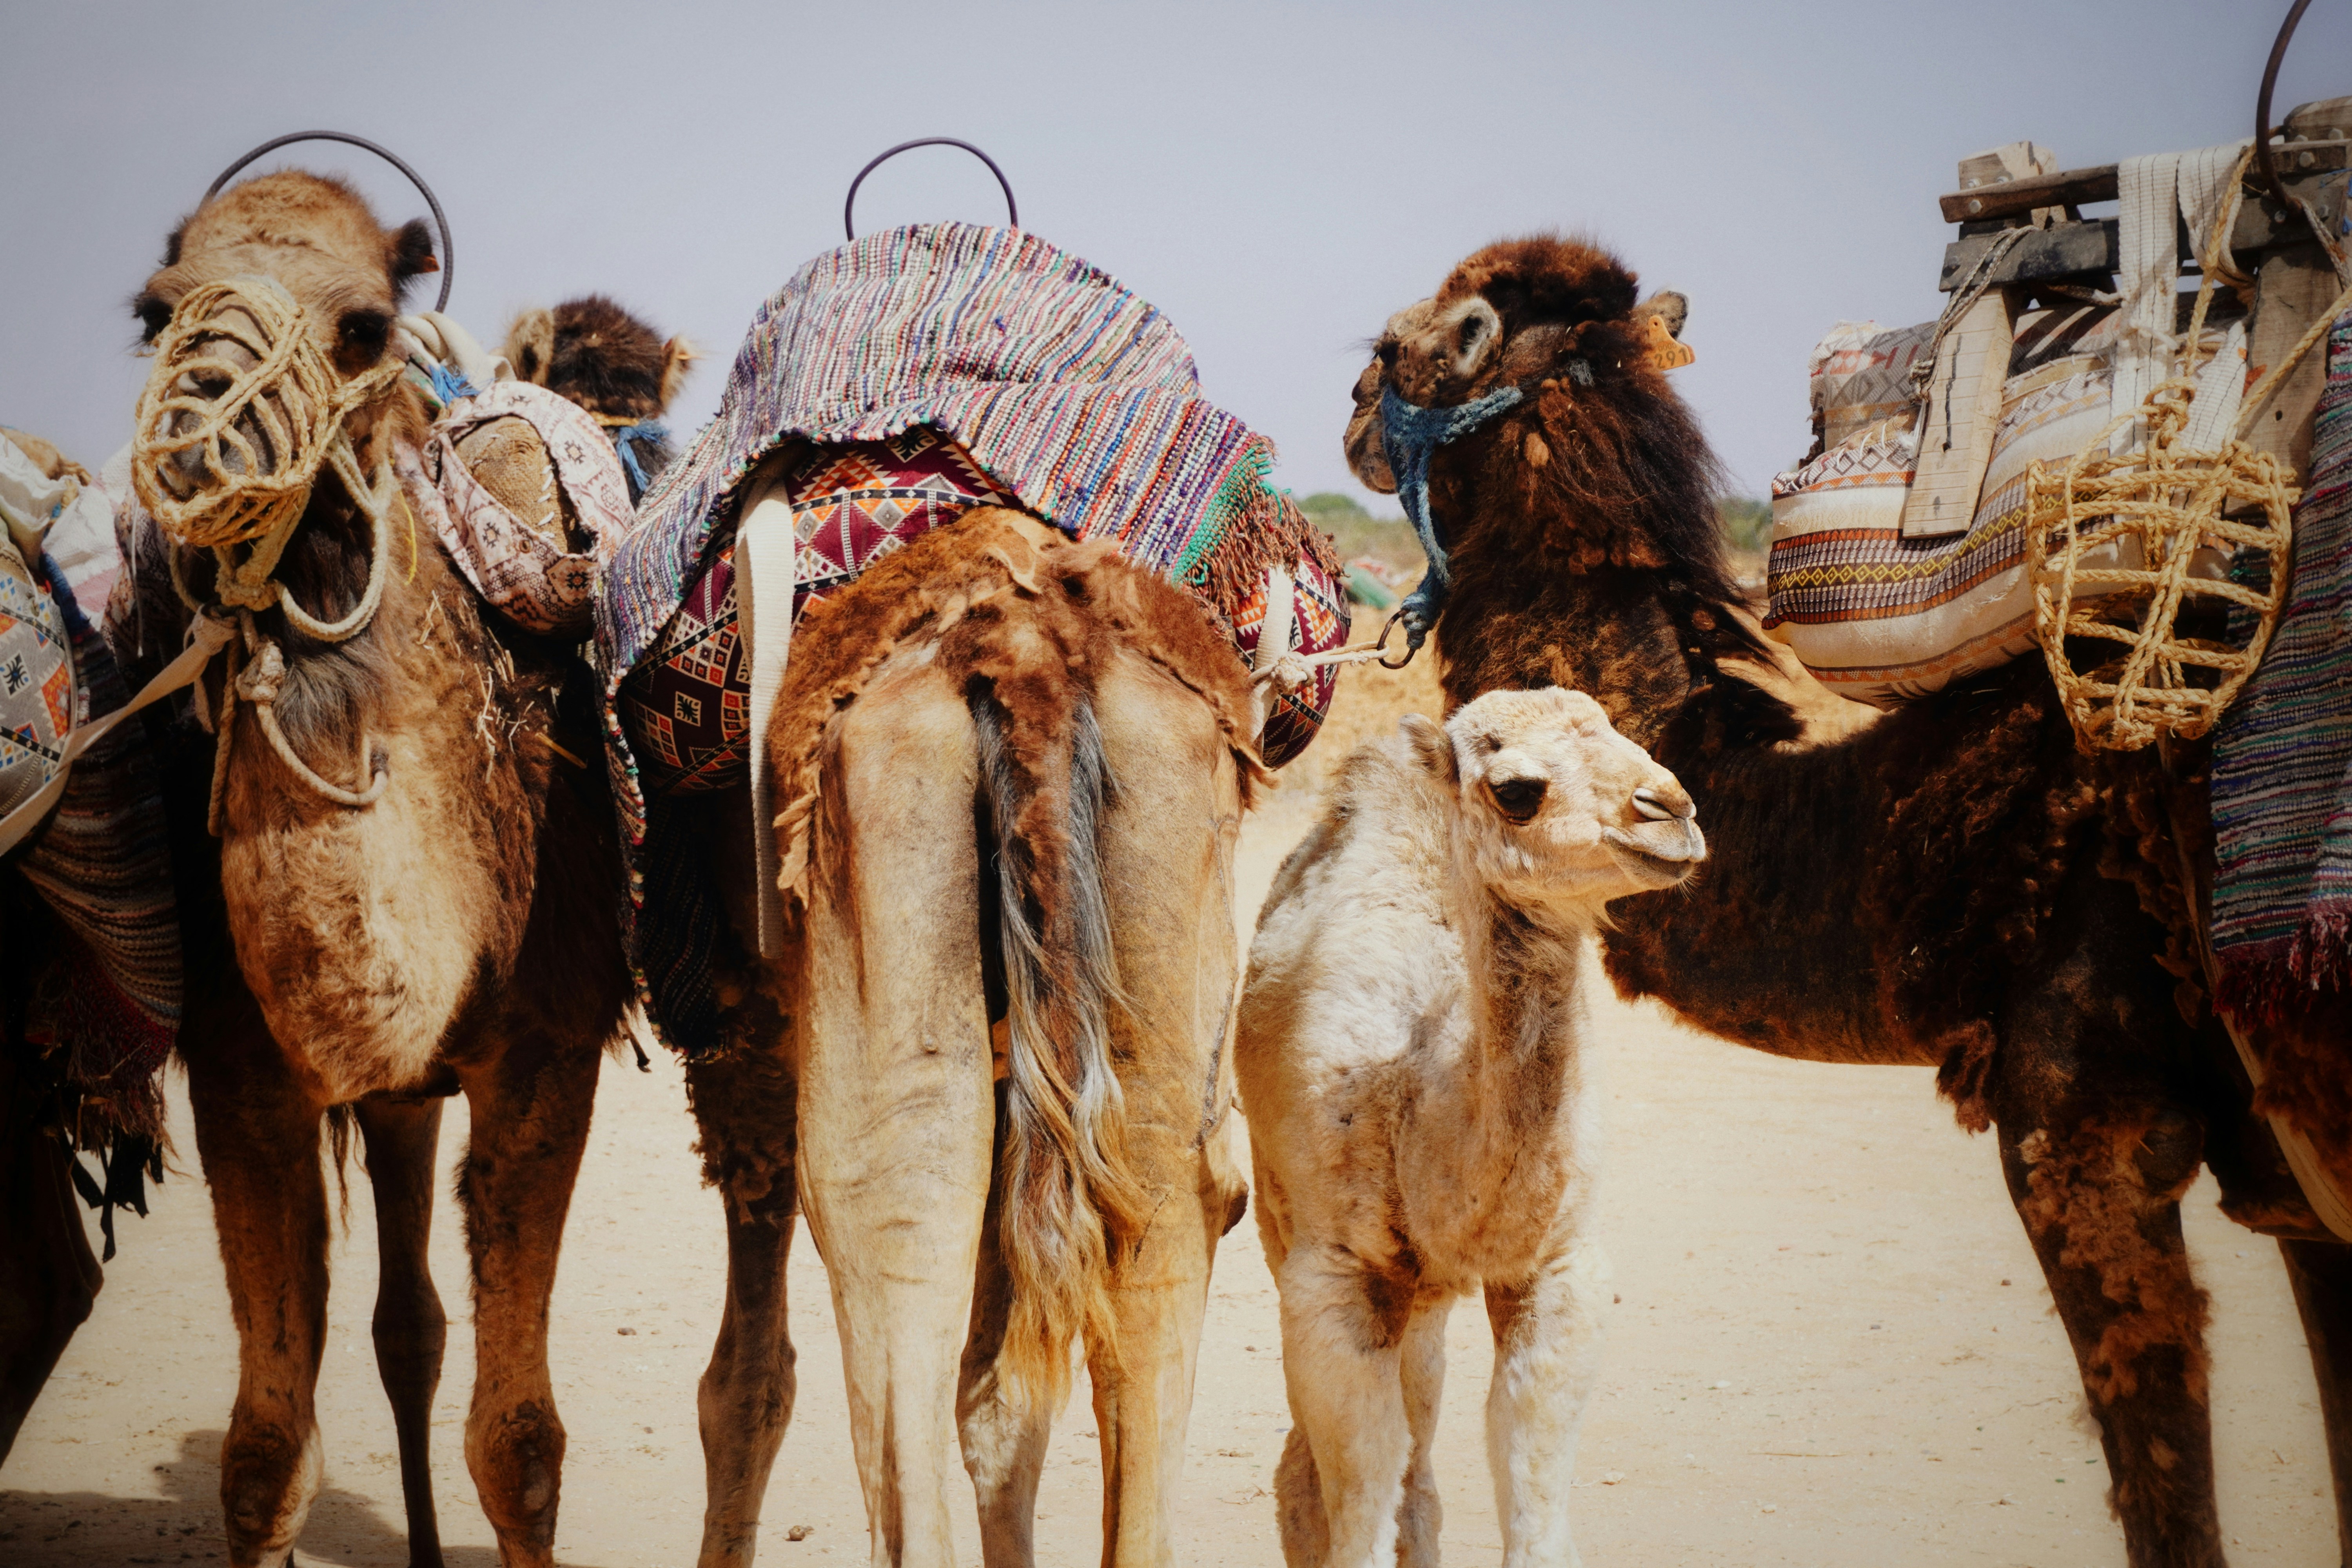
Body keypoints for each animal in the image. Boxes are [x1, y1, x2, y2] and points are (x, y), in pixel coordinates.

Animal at [111, 170, 631, 1567]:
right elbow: (261, 1457)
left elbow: (522, 1449)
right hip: (393, 1092)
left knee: (419, 1329)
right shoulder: (240, 1062)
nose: (199, 444)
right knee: (407, 1326)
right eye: (154, 313)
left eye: (359, 327)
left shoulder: (548, 1045)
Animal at [1239, 686, 1702, 1568]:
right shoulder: (1334, 1273)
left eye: (1629, 733)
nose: (1672, 810)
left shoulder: (1558, 1267)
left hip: (1420, 1292)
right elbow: (1360, 1483)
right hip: (1285, 1227)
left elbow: (1526, 1468)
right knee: (1328, 1466)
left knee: (1418, 1452)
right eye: (1517, 789)